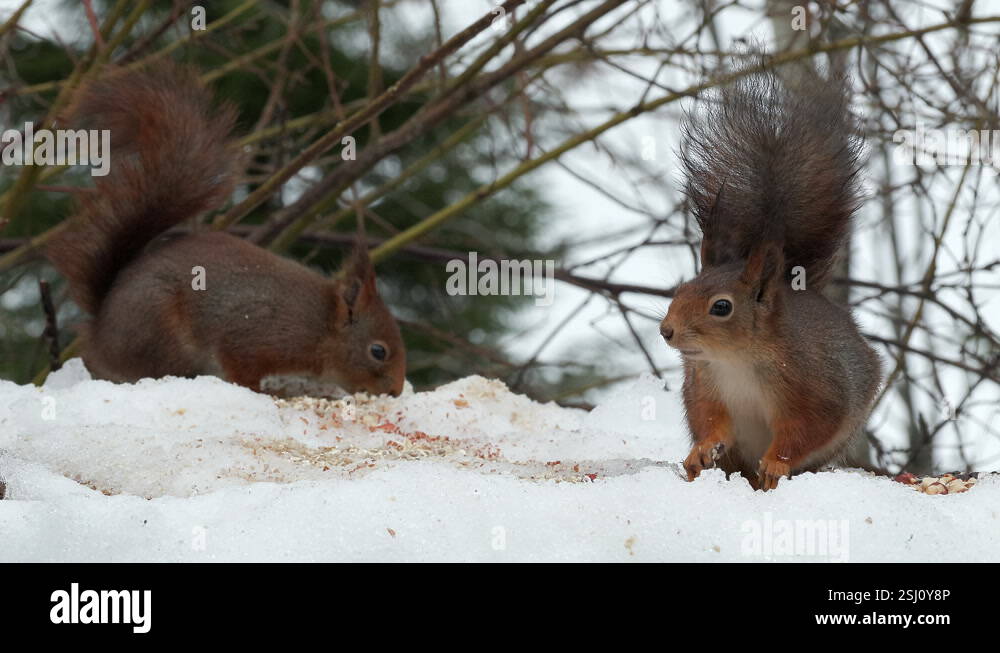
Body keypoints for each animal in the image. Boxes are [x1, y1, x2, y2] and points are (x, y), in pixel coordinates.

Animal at [45, 64, 406, 397]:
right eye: (378, 351)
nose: (396, 391)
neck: (320, 325)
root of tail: (100, 333)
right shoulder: (257, 336)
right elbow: (240, 366)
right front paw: (265, 392)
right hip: (159, 331)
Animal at [660, 67, 882, 491]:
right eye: (679, 291)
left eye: (722, 307)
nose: (667, 331)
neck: (737, 360)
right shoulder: (704, 385)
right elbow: (711, 423)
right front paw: (702, 449)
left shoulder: (815, 385)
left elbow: (809, 427)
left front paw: (777, 463)